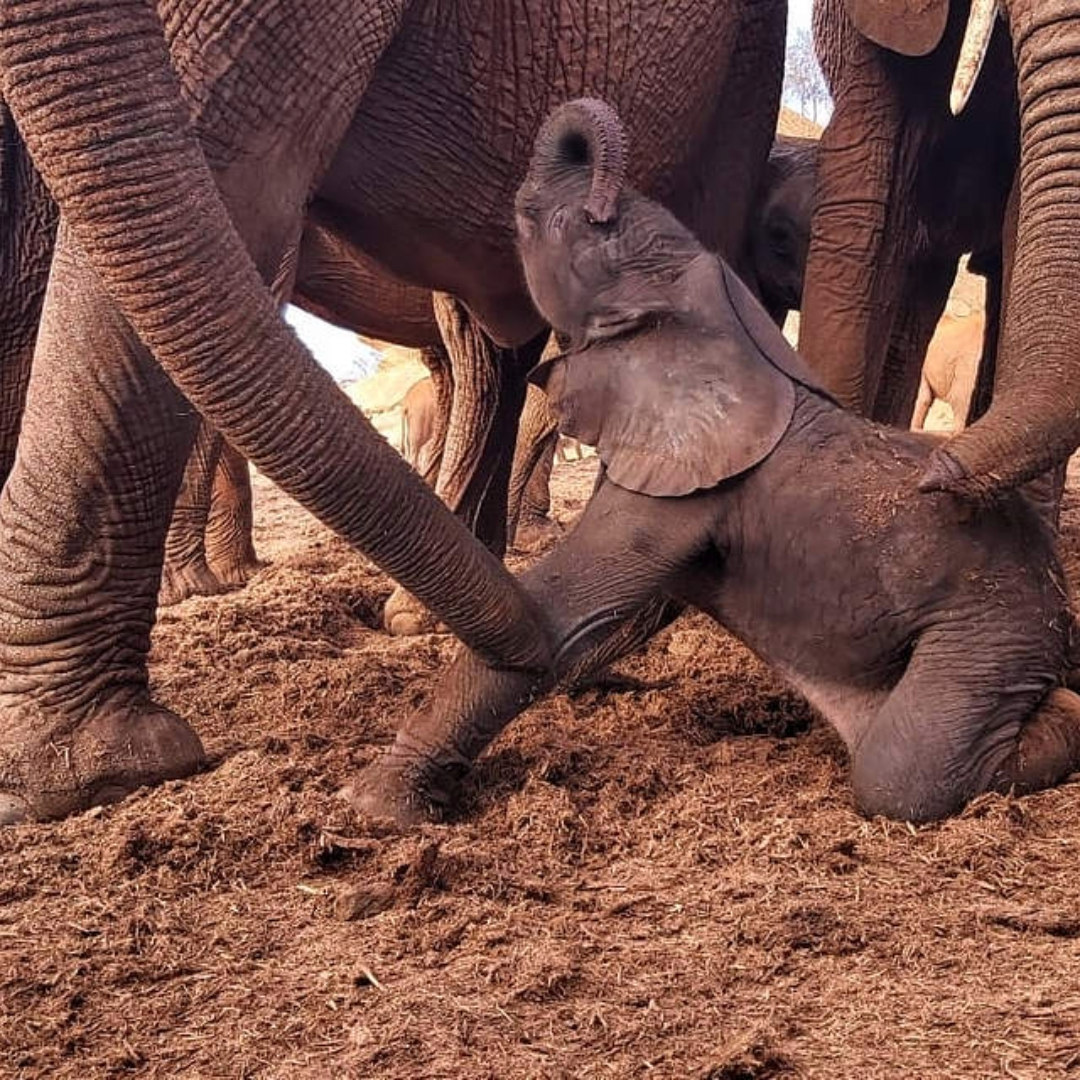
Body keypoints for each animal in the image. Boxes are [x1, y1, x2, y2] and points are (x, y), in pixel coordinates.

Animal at [347, 99, 1080, 829]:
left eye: (567, 229)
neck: (708, 313)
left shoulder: (677, 489)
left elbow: (565, 609)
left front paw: (374, 805)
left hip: (989, 627)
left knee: (903, 769)